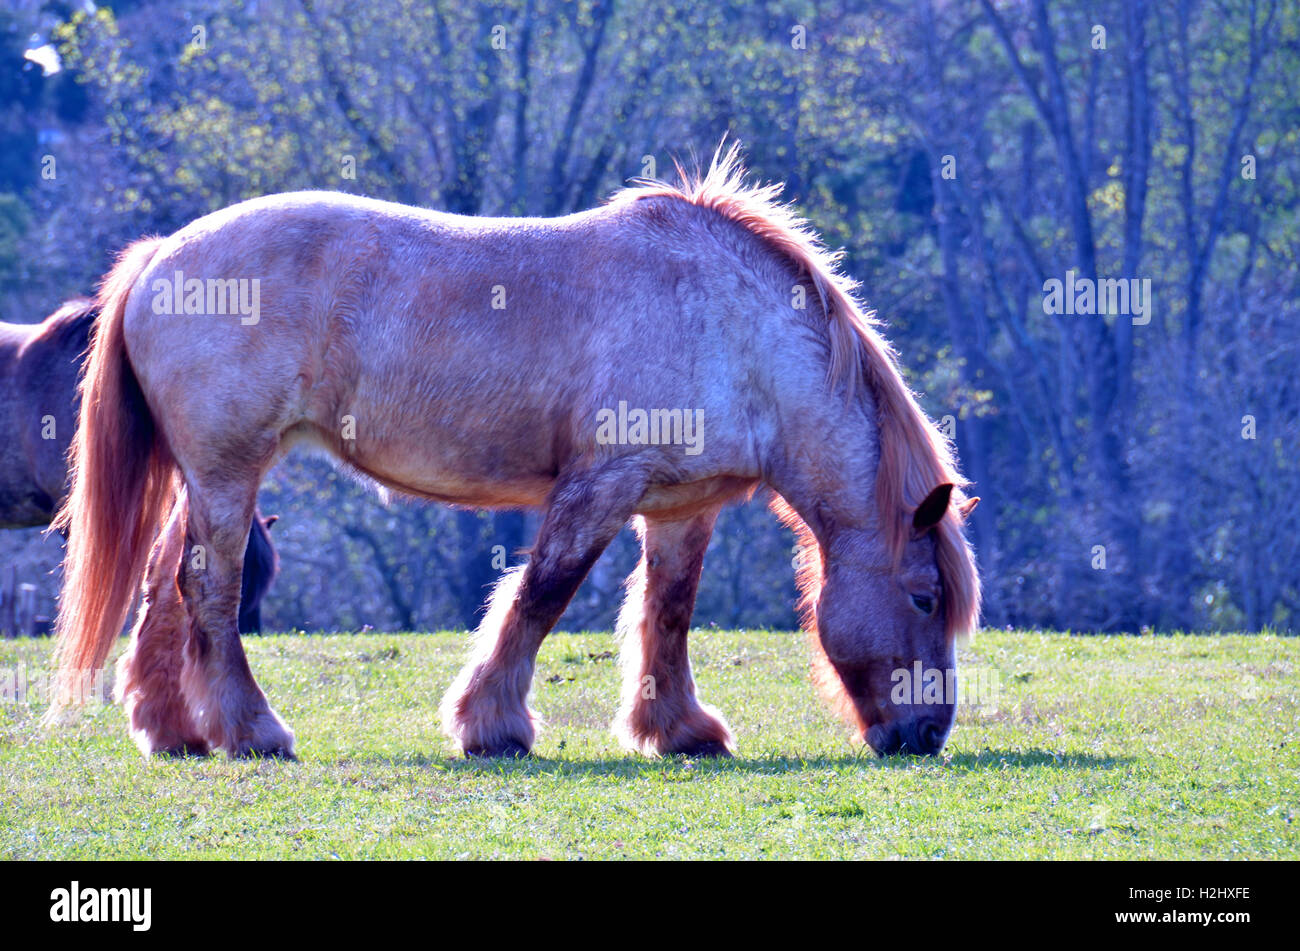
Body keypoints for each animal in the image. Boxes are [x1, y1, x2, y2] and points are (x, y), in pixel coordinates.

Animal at [46, 144, 980, 760]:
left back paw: (174, 731)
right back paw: (253, 731)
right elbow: (541, 595)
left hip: (207, 479)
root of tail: (160, 256)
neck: (732, 328)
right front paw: (491, 724)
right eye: (926, 597)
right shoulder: (599, 487)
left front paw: (679, 729)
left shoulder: (681, 507)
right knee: (210, 590)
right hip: (229, 471)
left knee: (169, 588)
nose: (925, 734)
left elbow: (668, 611)